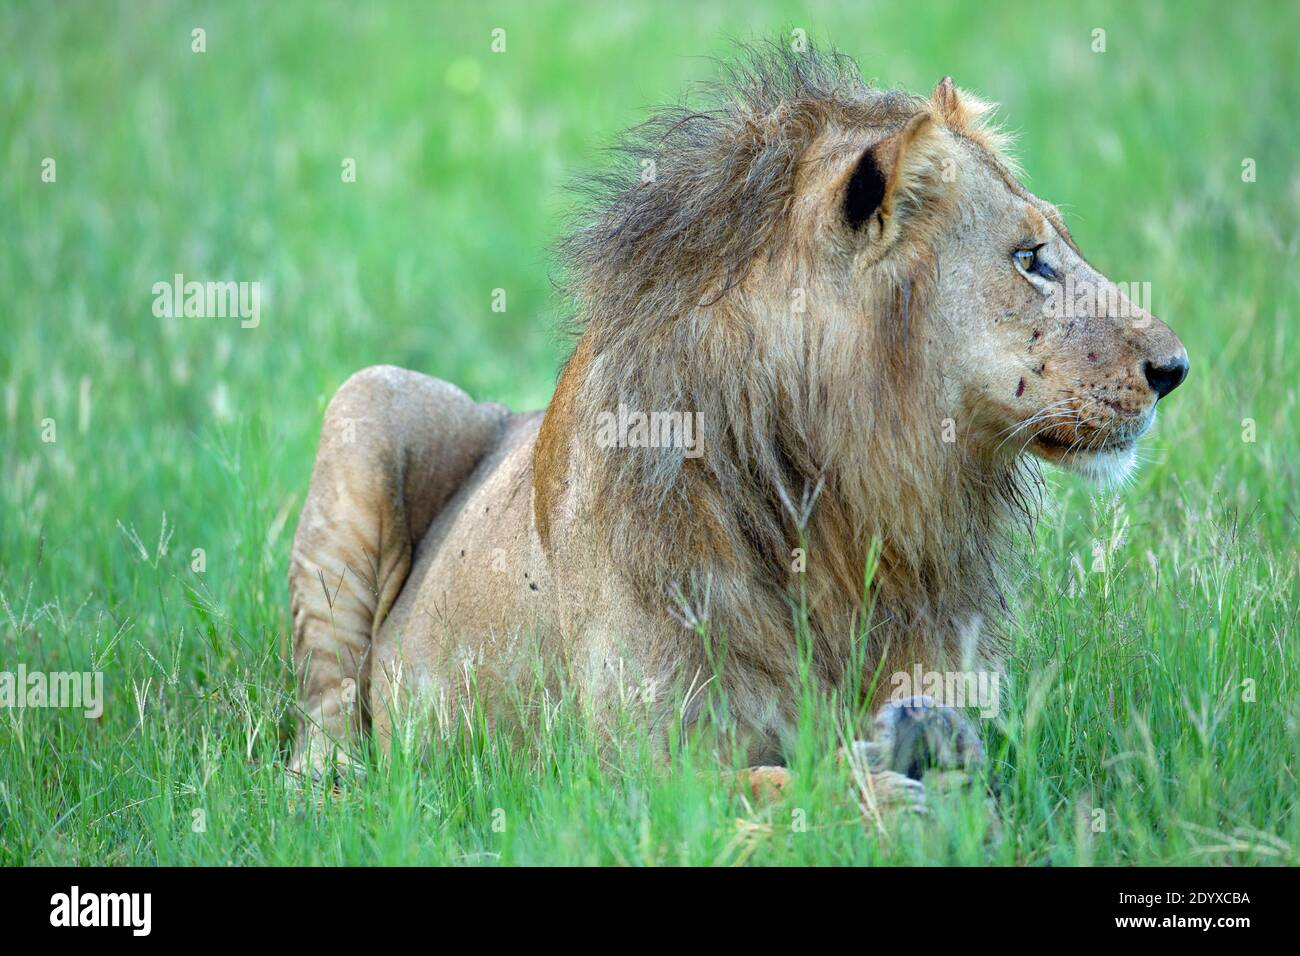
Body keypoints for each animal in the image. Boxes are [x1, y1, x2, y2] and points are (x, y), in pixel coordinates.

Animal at [287, 44, 1187, 809]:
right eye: (1029, 260)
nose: (1175, 368)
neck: (850, 503)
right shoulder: (628, 773)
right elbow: (783, 783)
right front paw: (889, 799)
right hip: (370, 396)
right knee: (323, 720)